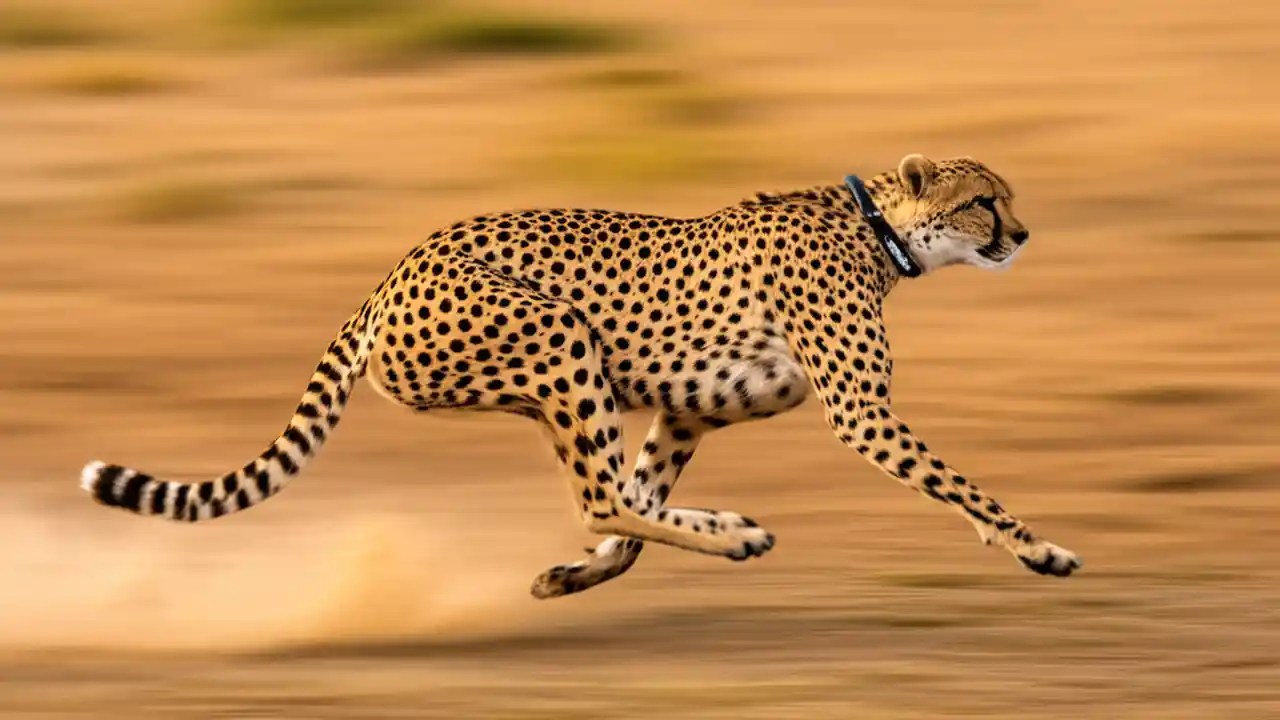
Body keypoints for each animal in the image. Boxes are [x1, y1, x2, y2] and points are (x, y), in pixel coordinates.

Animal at [81, 153, 1082, 599]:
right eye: (983, 201)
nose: (1025, 234)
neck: (878, 232)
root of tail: (393, 270)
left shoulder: (689, 413)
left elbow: (636, 513)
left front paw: (573, 576)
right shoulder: (864, 414)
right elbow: (964, 486)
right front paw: (1039, 548)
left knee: (612, 499)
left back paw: (716, 531)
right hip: (558, 339)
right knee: (597, 492)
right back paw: (734, 536)